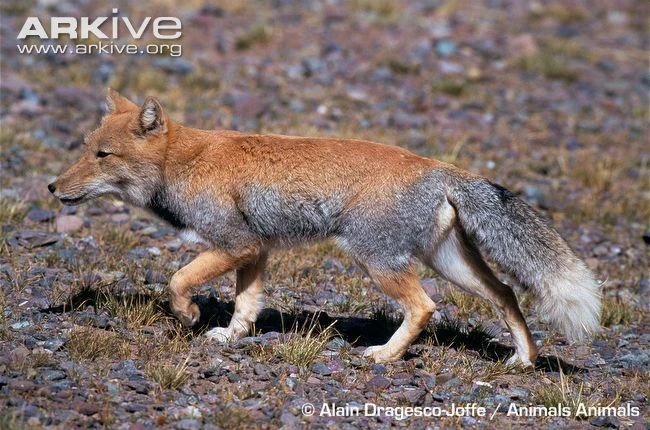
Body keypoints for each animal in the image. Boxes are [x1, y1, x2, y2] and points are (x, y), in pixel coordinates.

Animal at [49, 89, 601, 366]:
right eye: (84, 147)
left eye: (102, 156)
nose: (53, 187)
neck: (184, 162)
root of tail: (439, 166)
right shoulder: (256, 251)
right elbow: (247, 303)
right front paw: (232, 336)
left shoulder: (234, 244)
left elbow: (177, 279)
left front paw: (187, 315)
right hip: (449, 265)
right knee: (506, 294)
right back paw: (524, 359)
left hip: (379, 263)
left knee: (425, 307)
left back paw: (385, 355)